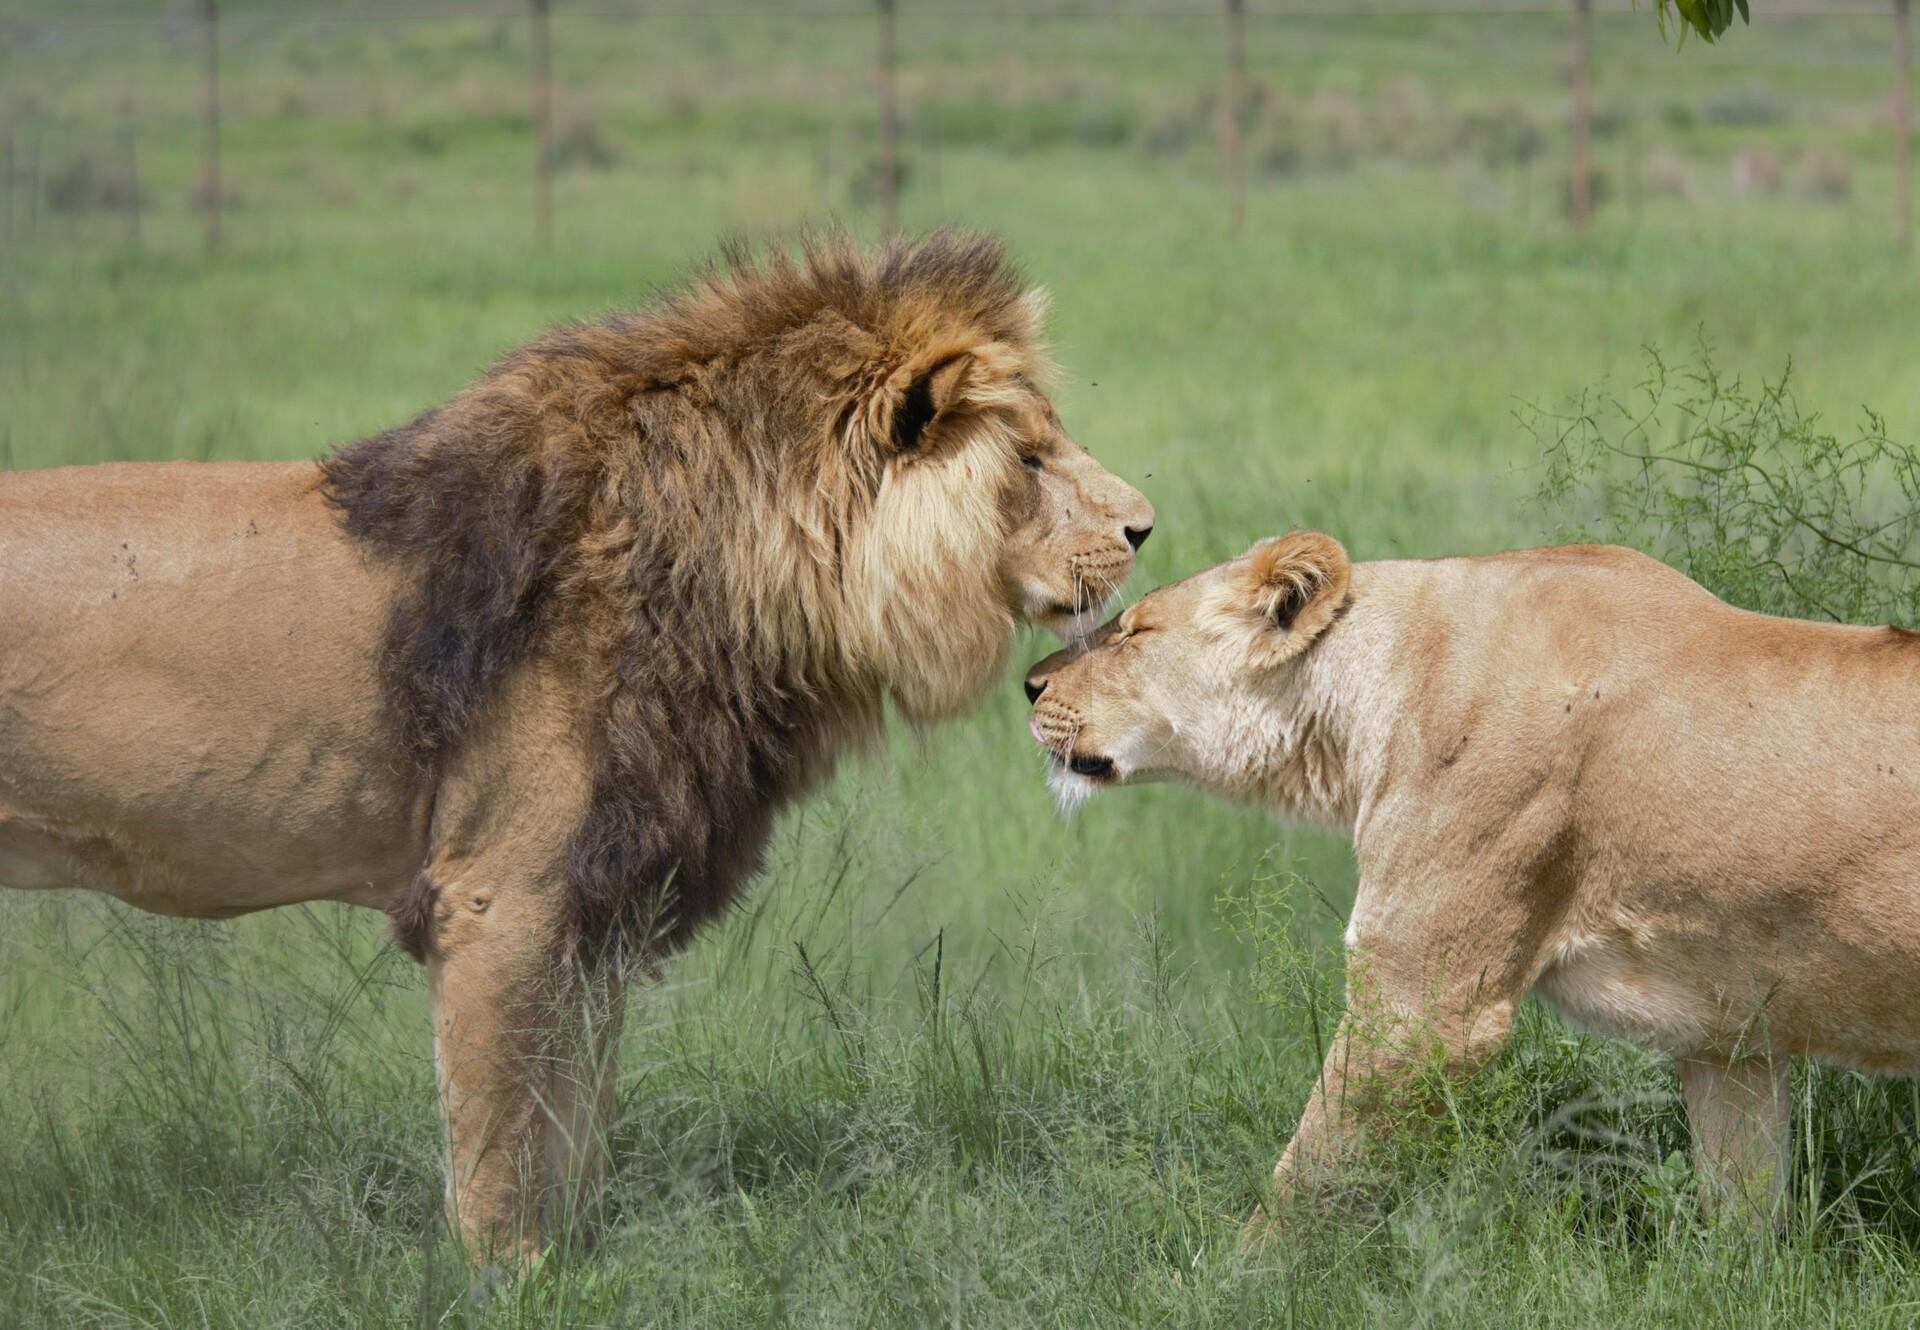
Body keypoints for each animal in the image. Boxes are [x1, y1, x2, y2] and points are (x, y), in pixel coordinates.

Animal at [0, 231, 1153, 1262]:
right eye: (1031, 457)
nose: (1145, 527)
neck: (729, 565)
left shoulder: (599, 896)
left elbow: (575, 1127)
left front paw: (584, 1260)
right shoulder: (496, 895)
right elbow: (500, 1141)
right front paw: (509, 1278)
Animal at [1025, 531, 1920, 1229]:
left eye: (1133, 630)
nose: (1030, 684)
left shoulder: (1423, 1006)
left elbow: (1304, 1180)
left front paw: (1232, 1287)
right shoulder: (1729, 1031)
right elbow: (1743, 1212)